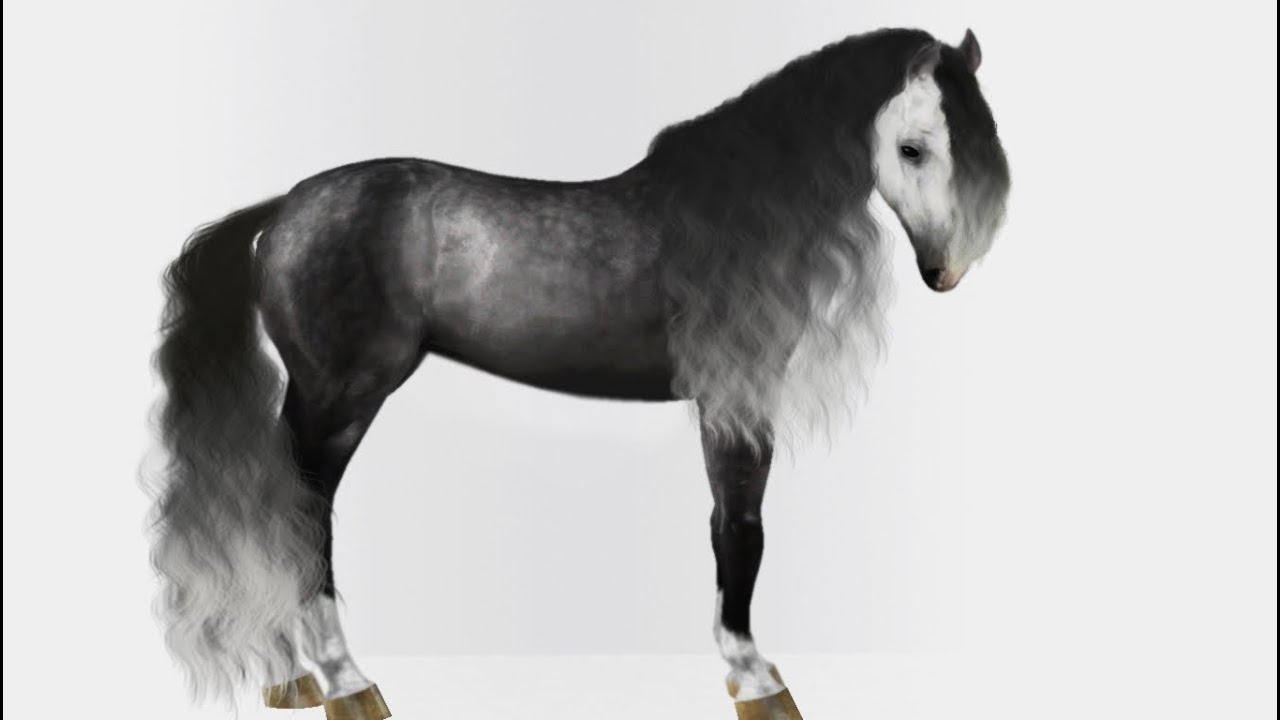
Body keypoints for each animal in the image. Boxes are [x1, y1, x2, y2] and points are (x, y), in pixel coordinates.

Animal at [146, 26, 1010, 720]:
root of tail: (280, 211)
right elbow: (739, 528)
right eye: (914, 147)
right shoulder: (736, 399)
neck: (733, 214)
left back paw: (290, 676)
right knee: (299, 515)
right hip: (339, 399)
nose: (946, 270)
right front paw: (755, 678)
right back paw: (346, 682)